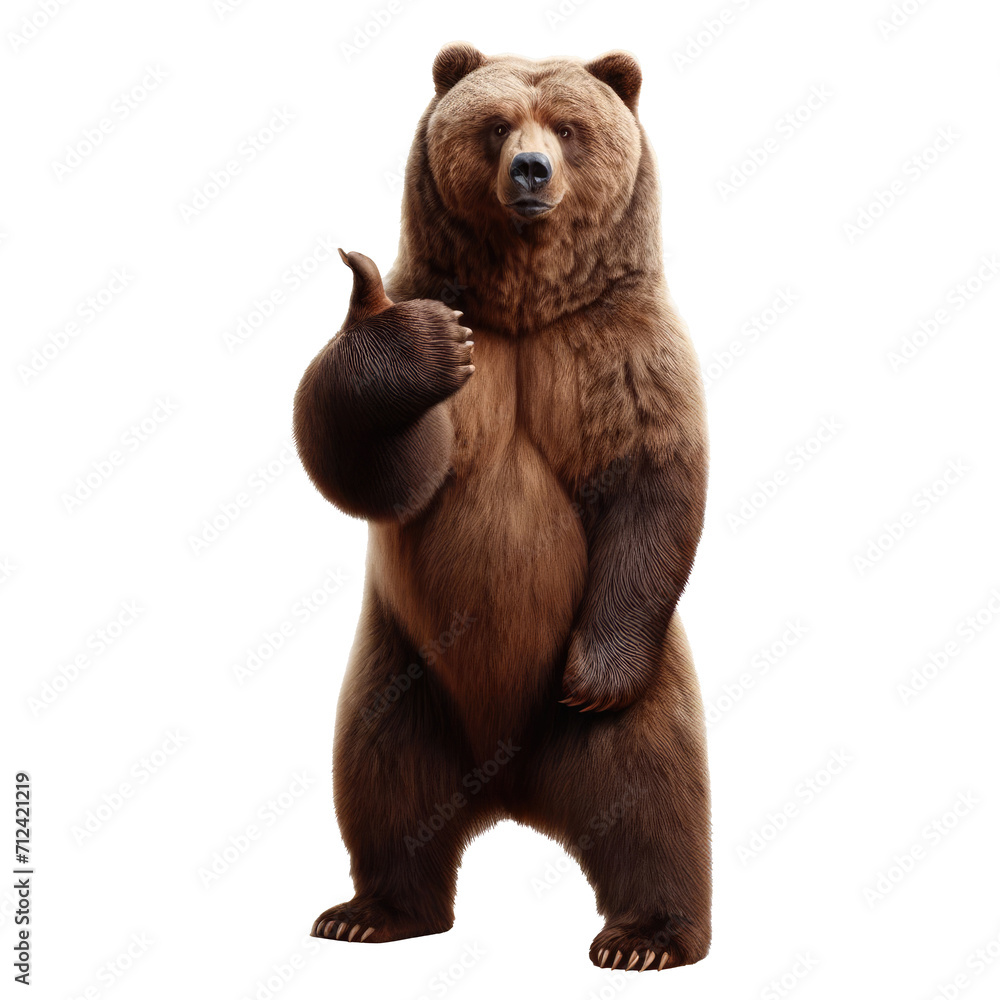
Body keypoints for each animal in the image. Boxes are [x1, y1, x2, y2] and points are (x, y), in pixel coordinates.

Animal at [292, 43, 711, 972]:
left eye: (569, 125)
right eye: (494, 123)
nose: (530, 169)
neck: (525, 310)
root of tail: (512, 788)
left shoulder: (623, 348)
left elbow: (655, 480)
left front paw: (593, 677)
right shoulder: (466, 354)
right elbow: (376, 470)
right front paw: (398, 336)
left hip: (632, 703)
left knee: (654, 792)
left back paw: (647, 937)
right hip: (403, 676)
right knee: (383, 783)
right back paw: (370, 912)